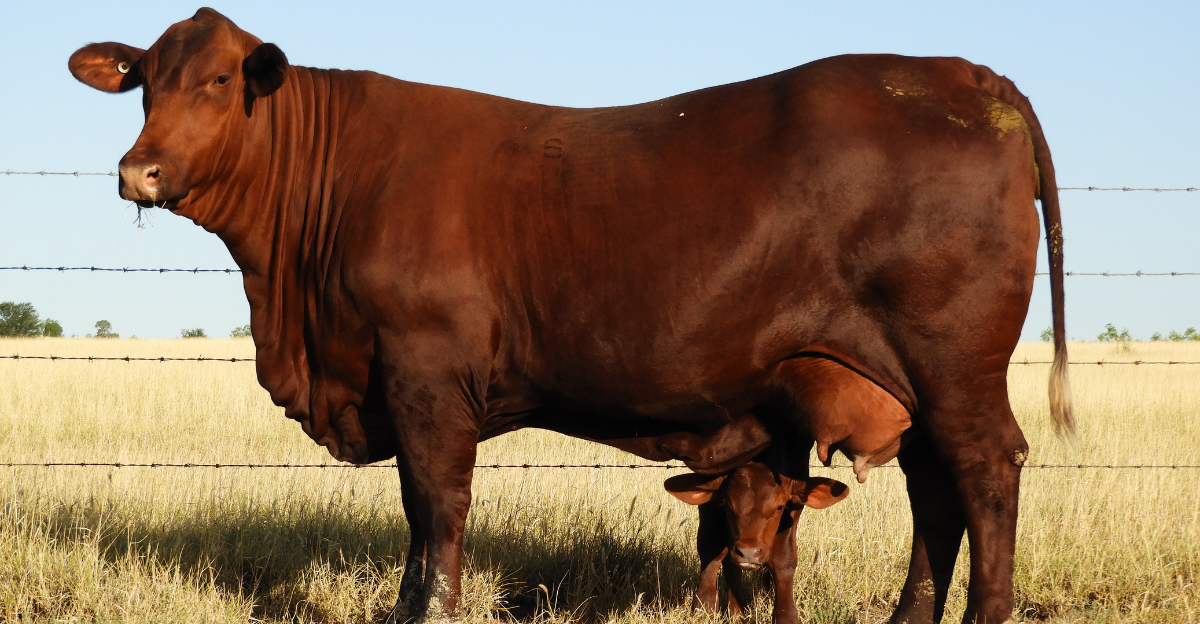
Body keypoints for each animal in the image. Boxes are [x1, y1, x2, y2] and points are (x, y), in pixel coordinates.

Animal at [665, 464, 849, 624]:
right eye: (727, 504)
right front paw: (703, 611)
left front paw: (786, 617)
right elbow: (711, 550)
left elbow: (784, 559)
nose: (749, 552)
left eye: (779, 507)